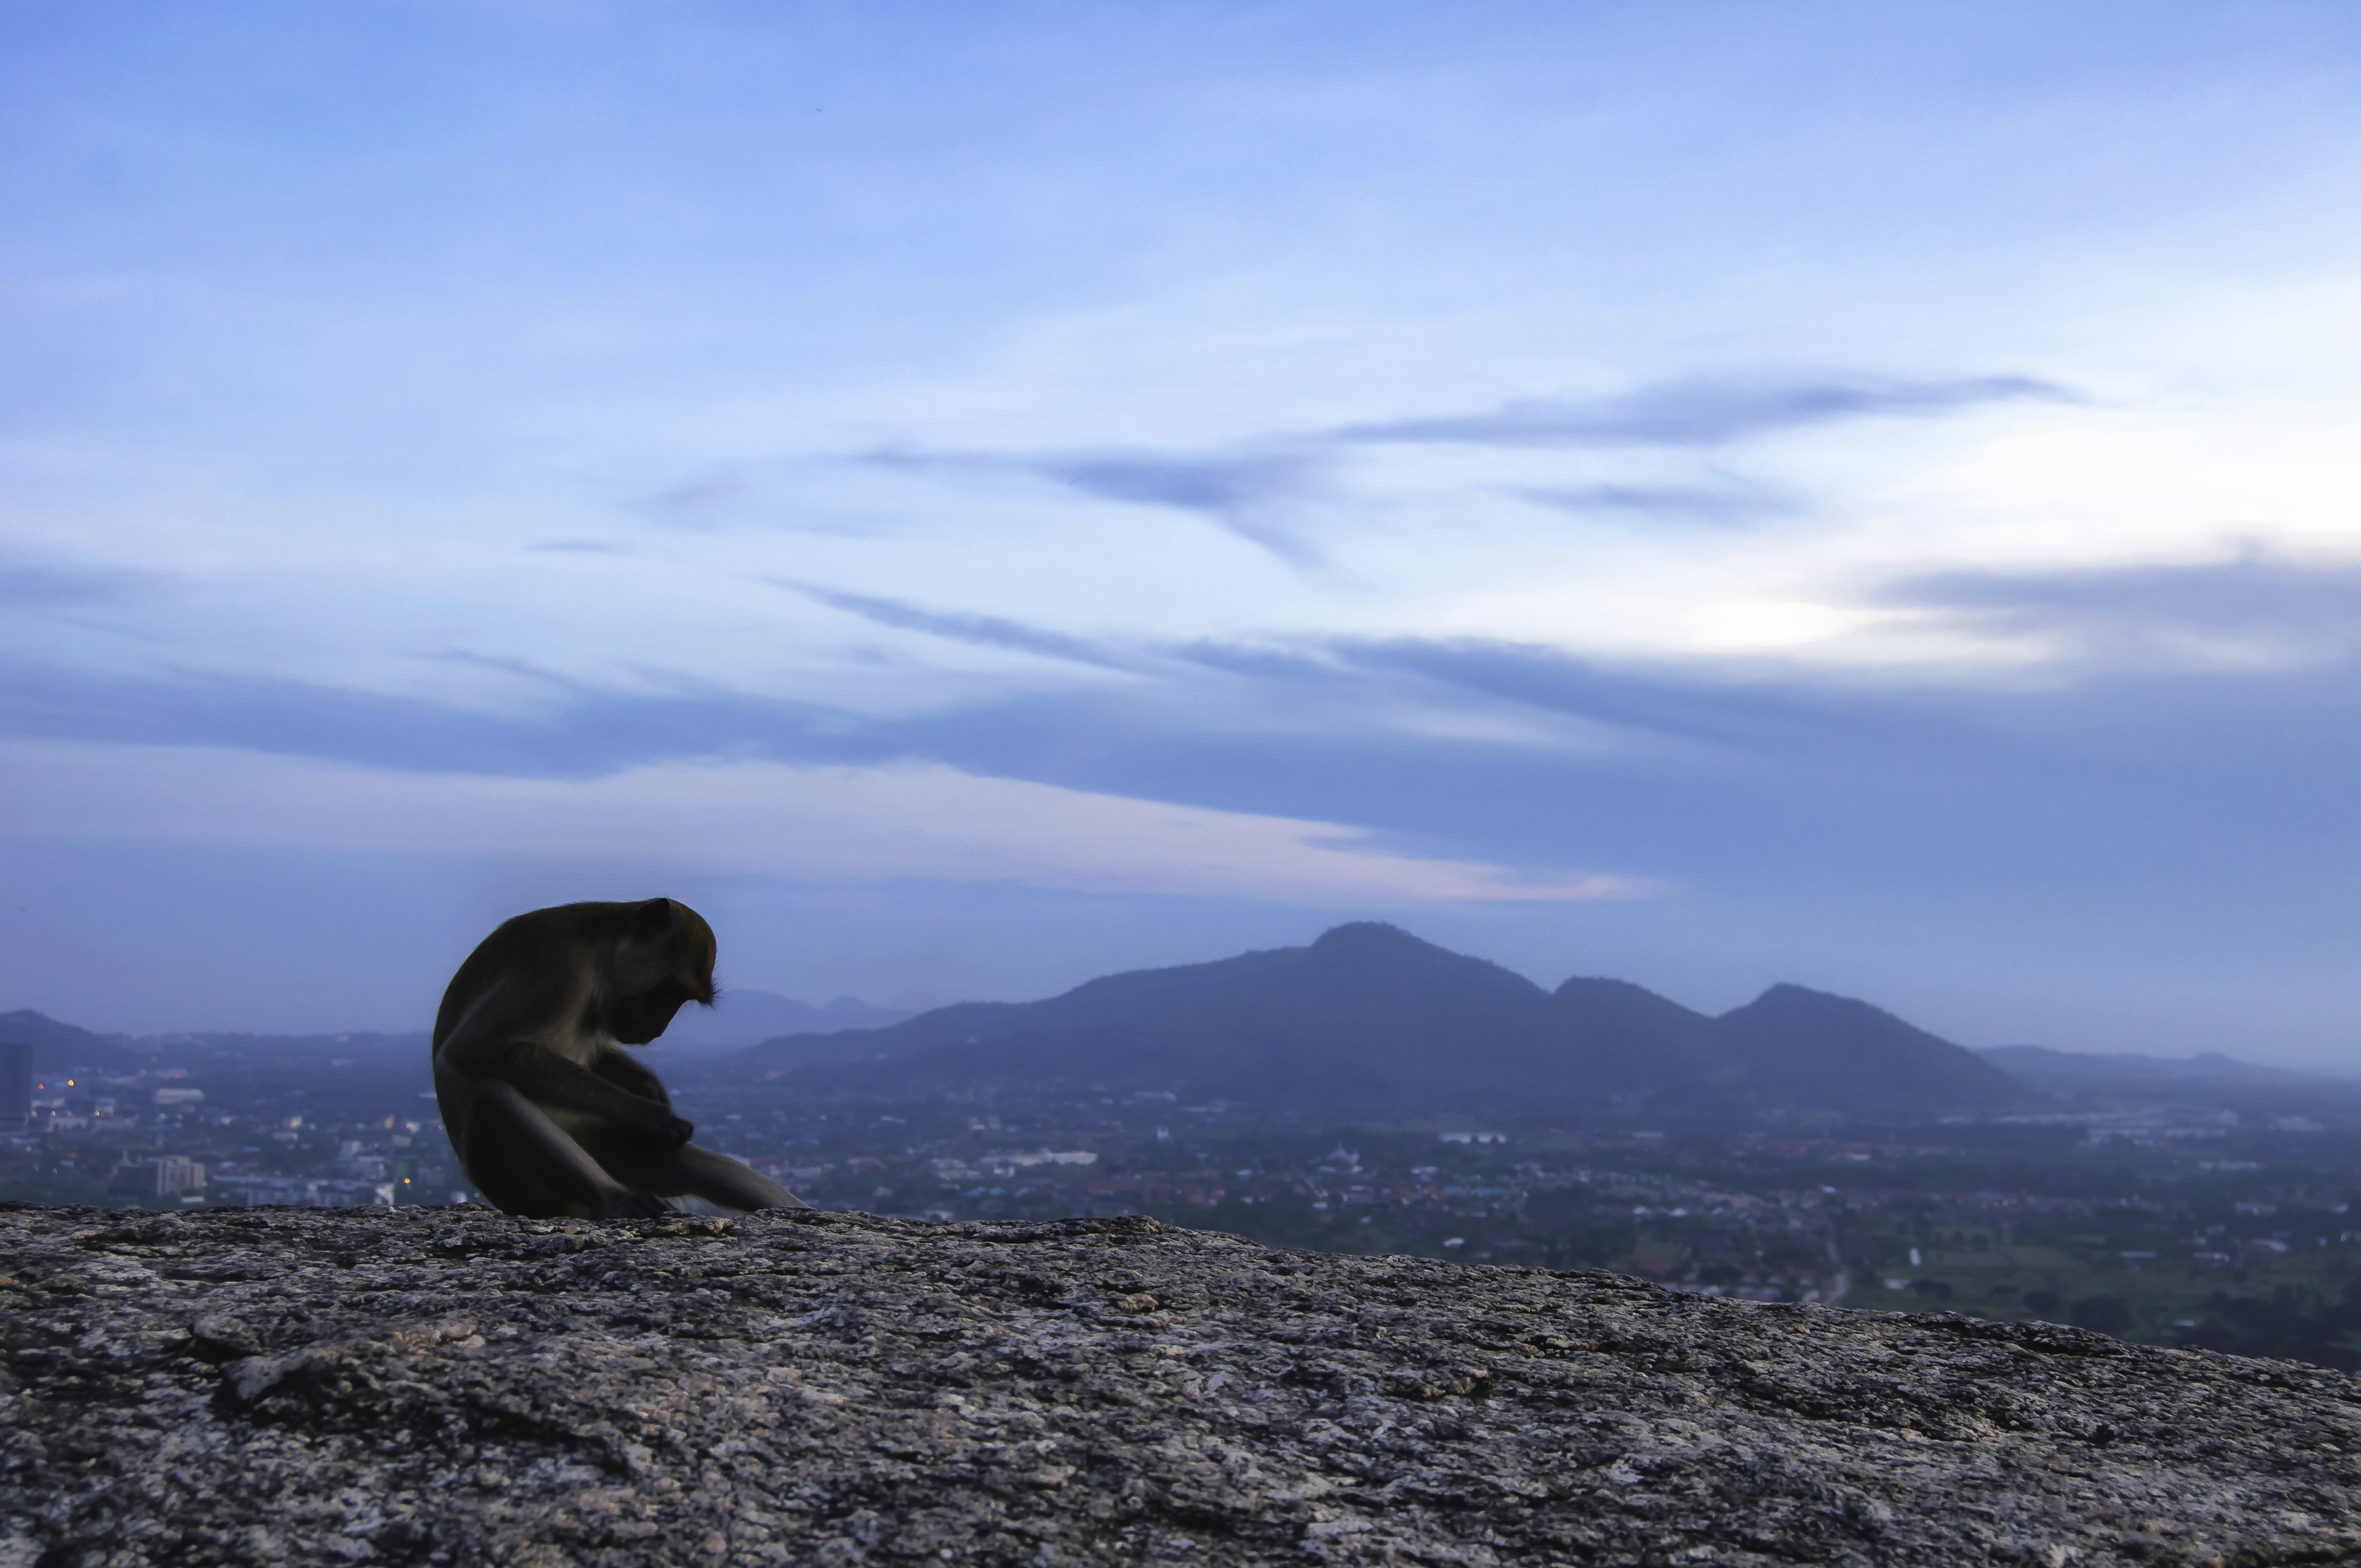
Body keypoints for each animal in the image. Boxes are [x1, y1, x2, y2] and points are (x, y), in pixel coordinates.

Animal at [431, 898, 808, 1220]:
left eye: (681, 998)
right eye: (669, 992)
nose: (658, 1029)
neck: (598, 955)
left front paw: (650, 1088)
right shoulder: (553, 969)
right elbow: (473, 1048)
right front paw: (644, 1111)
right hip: (515, 1184)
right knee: (490, 1090)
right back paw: (615, 1200)